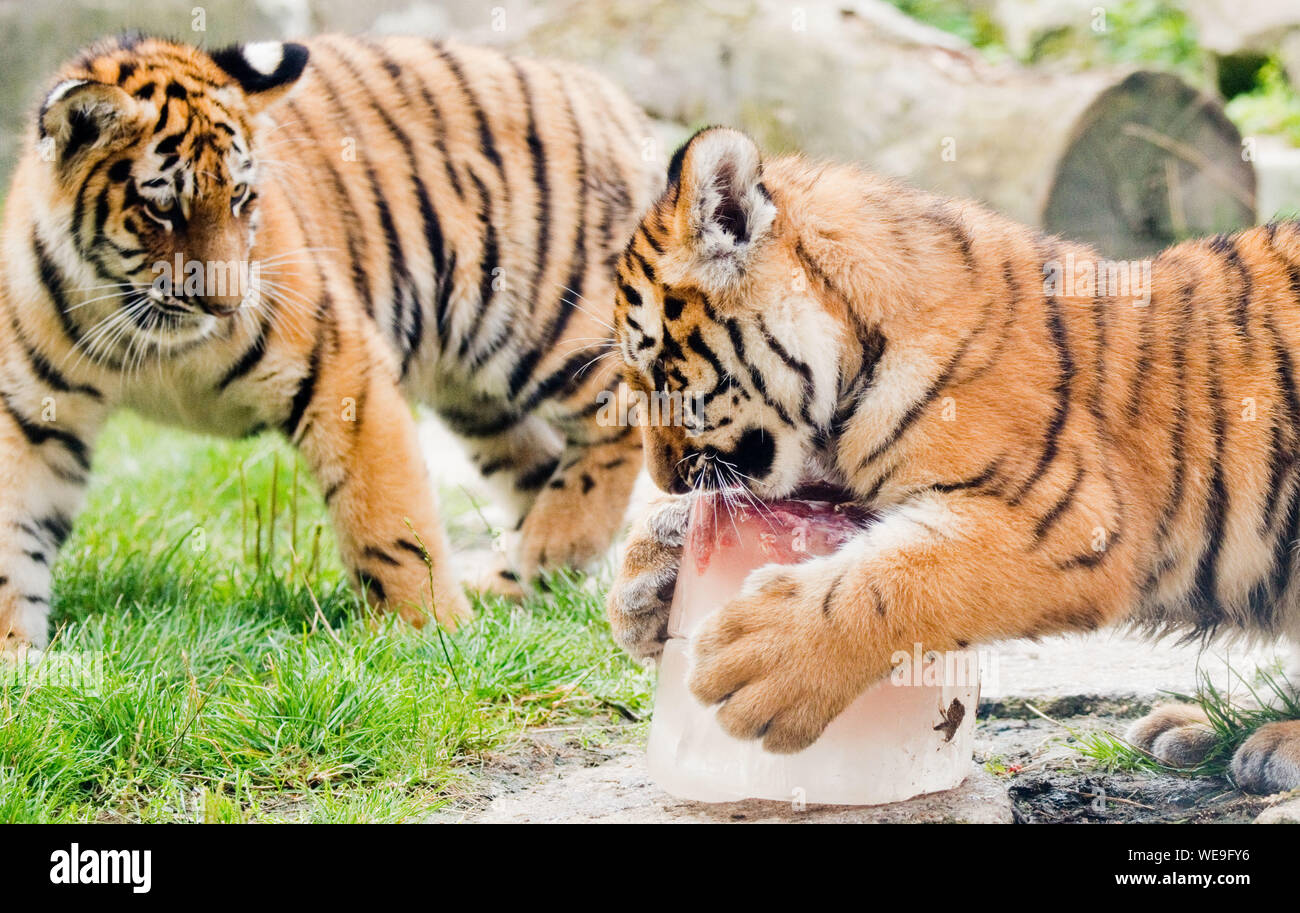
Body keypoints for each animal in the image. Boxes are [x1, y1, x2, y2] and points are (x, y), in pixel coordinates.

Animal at [0, 32, 661, 649]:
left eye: (240, 198)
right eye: (162, 209)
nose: (226, 304)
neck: (144, 331)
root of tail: (612, 99)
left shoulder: (342, 371)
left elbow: (389, 517)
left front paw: (428, 635)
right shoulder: (30, 416)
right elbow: (15, 540)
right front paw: (21, 658)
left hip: (543, 320)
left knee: (627, 409)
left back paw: (554, 545)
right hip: (473, 393)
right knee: (542, 463)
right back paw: (519, 579)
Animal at [605, 126, 1300, 795]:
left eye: (658, 374)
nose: (663, 478)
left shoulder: (1071, 521)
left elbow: (901, 578)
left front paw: (760, 661)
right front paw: (644, 588)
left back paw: (1267, 745)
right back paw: (1193, 730)